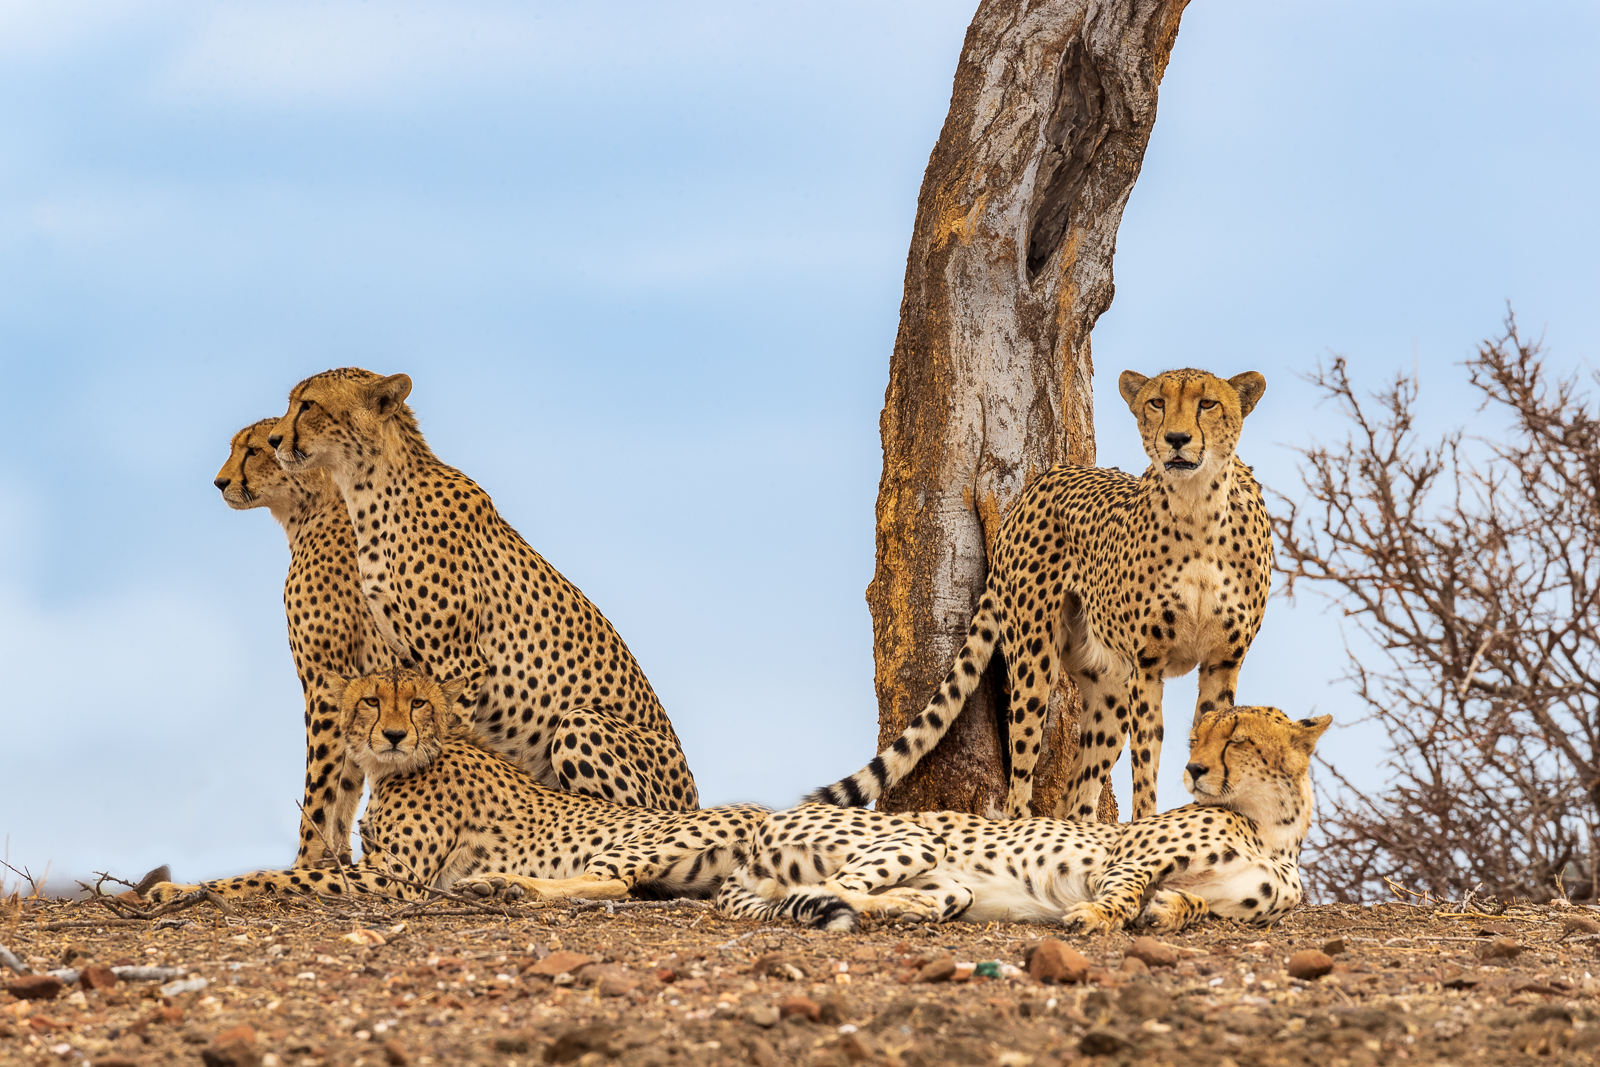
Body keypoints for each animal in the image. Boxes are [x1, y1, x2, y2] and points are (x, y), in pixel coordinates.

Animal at [148, 667, 767, 907]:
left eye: (419, 702)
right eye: (371, 700)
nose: (394, 734)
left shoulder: (397, 878)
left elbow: (274, 875)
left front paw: (174, 889)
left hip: (635, 836)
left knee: (613, 883)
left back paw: (502, 884)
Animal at [214, 419, 396, 867]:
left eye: (255, 449)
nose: (219, 482)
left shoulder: (324, 684)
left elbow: (321, 784)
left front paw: (307, 861)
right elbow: (347, 780)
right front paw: (336, 858)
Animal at [265, 368, 699, 810]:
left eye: (308, 405)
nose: (274, 440)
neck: (369, 492)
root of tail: (693, 797)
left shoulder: (457, 660)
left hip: (581, 722)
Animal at [718, 706, 1330, 933]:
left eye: (1239, 739)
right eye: (1197, 739)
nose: (1194, 768)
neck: (1273, 830)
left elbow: (1191, 903)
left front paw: (1169, 911)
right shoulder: (1126, 859)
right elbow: (1123, 894)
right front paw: (1097, 916)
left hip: (953, 886)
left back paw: (909, 907)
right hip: (918, 837)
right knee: (831, 888)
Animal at [808, 368, 1272, 822]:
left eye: (1207, 403)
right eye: (1157, 402)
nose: (1176, 439)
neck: (1198, 509)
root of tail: (1040, 482)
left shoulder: (1221, 662)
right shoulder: (1148, 665)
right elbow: (1146, 763)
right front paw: (1149, 824)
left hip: (1109, 686)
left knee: (1076, 796)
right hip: (1035, 660)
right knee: (1020, 784)